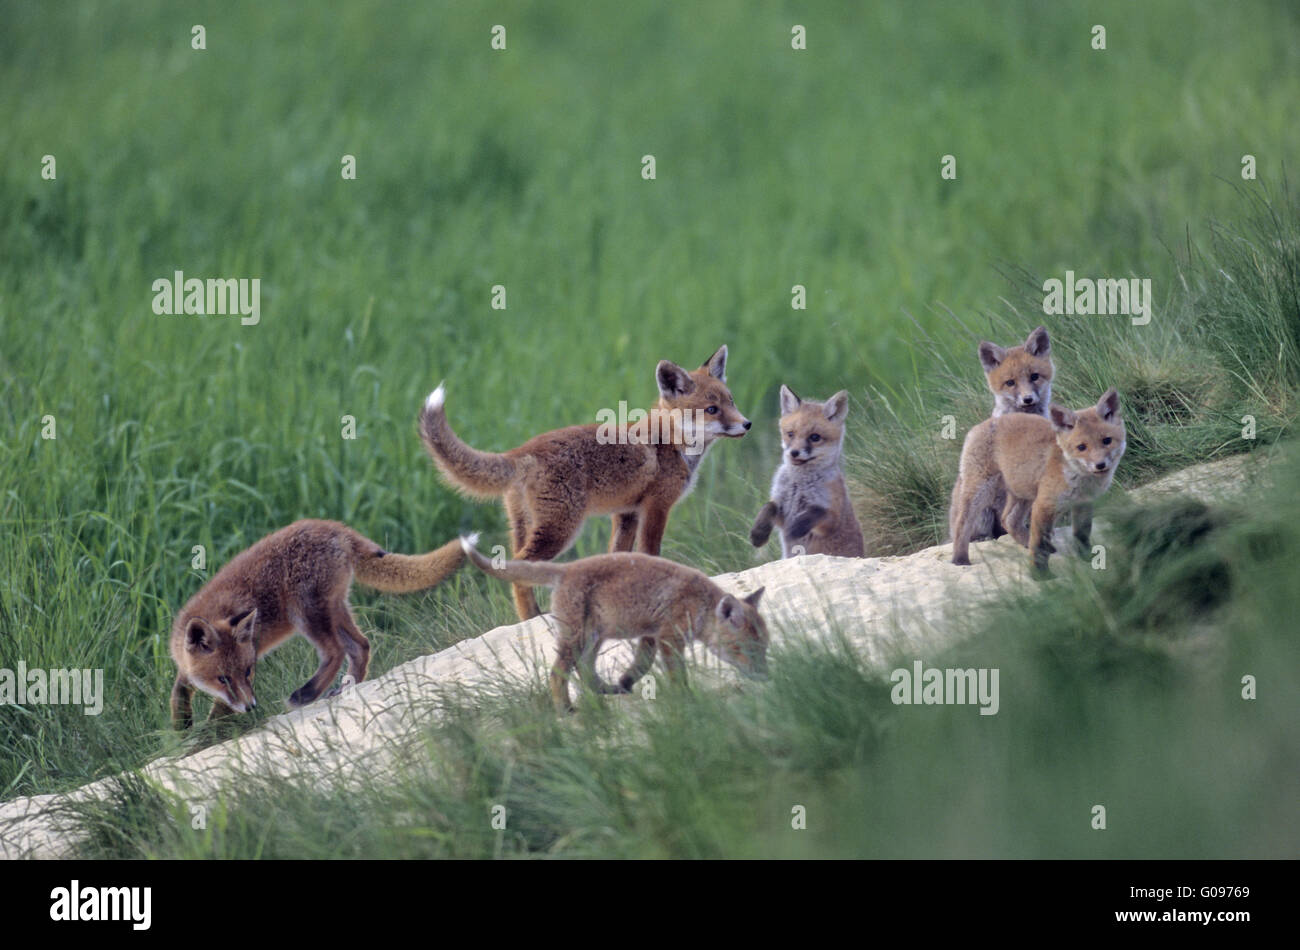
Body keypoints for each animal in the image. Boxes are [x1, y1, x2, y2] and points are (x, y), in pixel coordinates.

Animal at [169, 519, 466, 729]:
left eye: (248, 672)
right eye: (222, 678)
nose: (252, 707)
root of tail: (334, 527)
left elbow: (219, 710)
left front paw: (204, 737)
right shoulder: (185, 667)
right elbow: (179, 693)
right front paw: (181, 729)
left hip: (306, 614)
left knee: (335, 652)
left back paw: (306, 694)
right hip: (335, 609)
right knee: (361, 646)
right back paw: (347, 687)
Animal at [420, 345, 750, 621]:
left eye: (731, 401)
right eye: (711, 410)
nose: (747, 424)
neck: (671, 442)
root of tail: (521, 451)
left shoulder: (627, 513)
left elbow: (620, 558)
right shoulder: (656, 507)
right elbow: (650, 553)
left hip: (525, 526)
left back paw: (530, 617)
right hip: (560, 529)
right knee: (519, 567)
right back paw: (531, 620)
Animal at [460, 537, 768, 712]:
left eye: (764, 649)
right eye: (746, 650)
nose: (765, 675)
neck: (699, 602)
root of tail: (566, 569)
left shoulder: (651, 635)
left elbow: (641, 664)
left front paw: (625, 681)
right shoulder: (668, 637)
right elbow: (675, 674)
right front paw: (687, 697)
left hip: (594, 637)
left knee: (584, 669)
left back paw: (606, 690)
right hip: (576, 638)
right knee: (557, 674)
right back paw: (565, 710)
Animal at [750, 385, 864, 558]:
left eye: (815, 437)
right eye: (790, 434)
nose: (794, 453)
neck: (799, 483)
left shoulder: (833, 516)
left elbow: (817, 513)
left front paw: (795, 528)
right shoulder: (781, 509)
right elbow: (768, 507)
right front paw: (758, 533)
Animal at [950, 389, 1126, 575]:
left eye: (1106, 441)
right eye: (1081, 447)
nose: (1100, 465)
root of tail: (980, 425)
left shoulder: (1083, 503)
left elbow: (1082, 535)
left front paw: (1087, 558)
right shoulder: (1044, 505)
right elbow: (1039, 545)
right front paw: (1042, 576)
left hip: (1022, 493)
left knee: (1008, 520)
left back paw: (1026, 541)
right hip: (981, 491)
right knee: (962, 525)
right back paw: (960, 559)